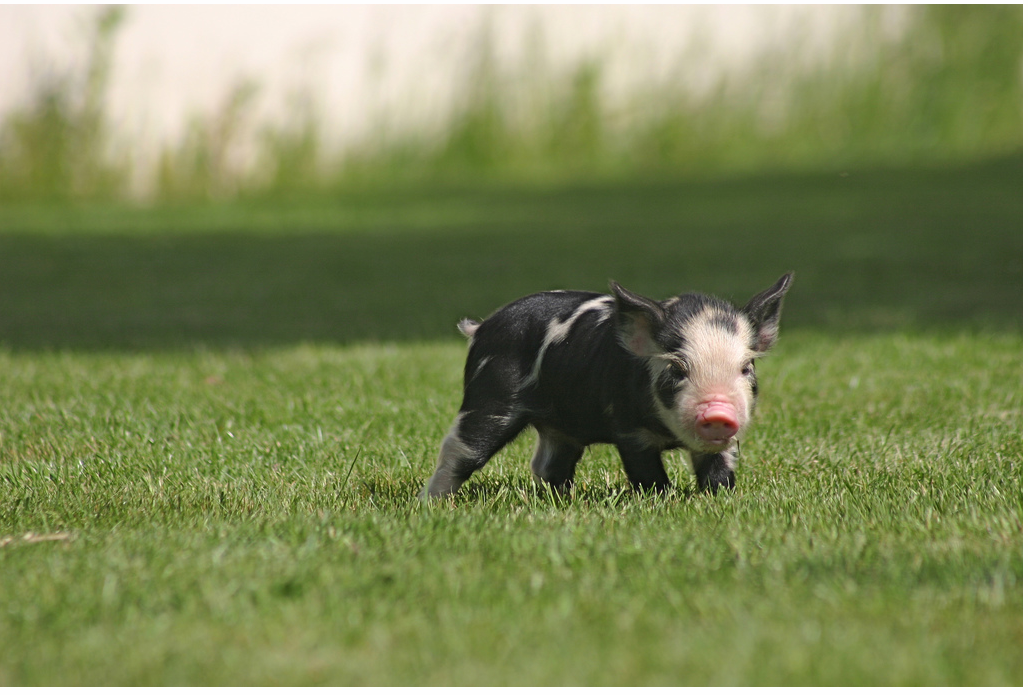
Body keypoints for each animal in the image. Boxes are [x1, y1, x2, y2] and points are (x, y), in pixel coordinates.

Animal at [420, 273, 793, 499]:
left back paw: (560, 499)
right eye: (676, 369)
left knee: (547, 464)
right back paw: (432, 503)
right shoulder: (629, 431)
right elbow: (646, 472)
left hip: (561, 428)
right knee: (460, 447)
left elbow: (718, 467)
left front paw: (718, 498)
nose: (718, 412)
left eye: (746, 368)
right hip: (490, 396)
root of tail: (481, 327)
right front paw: (662, 499)